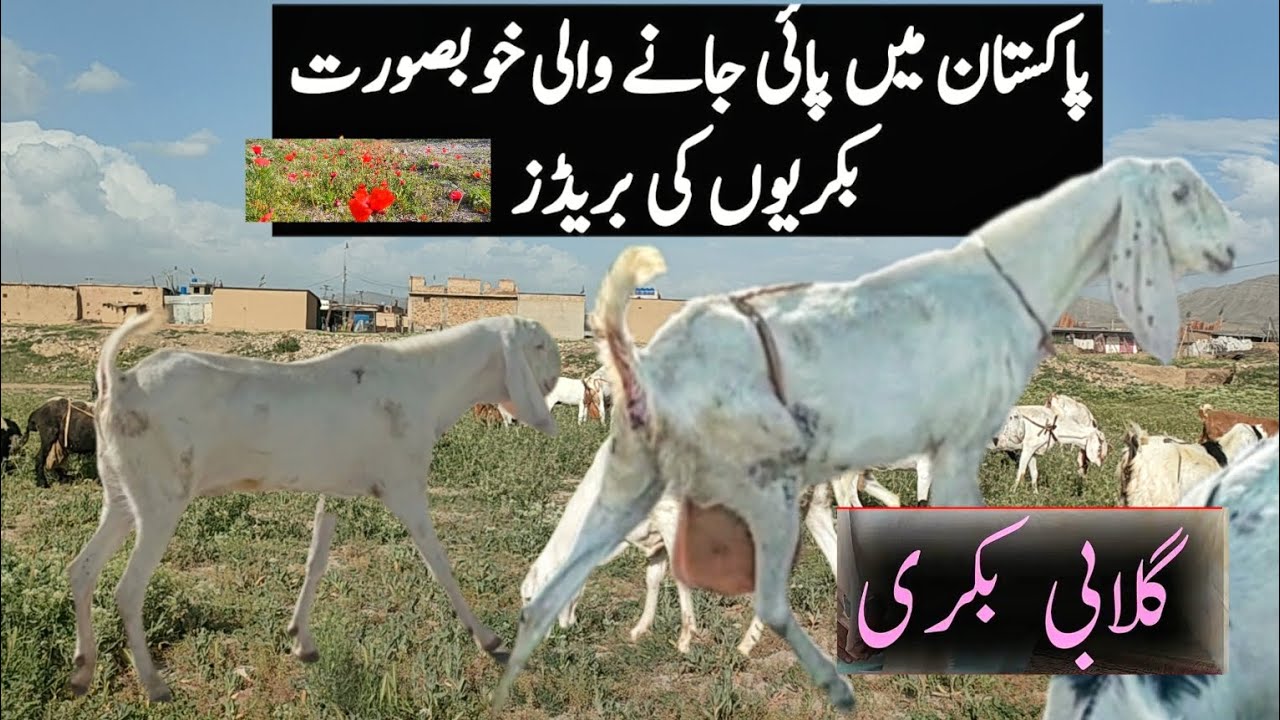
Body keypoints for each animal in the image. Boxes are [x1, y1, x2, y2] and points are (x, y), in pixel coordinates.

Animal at [67, 311, 562, 703]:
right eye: (539, 345)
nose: (557, 377)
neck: (424, 379)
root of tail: (121, 382)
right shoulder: (404, 487)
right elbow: (439, 561)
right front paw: (489, 639)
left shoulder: (336, 491)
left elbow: (317, 559)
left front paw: (300, 640)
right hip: (161, 502)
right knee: (128, 589)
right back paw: (154, 684)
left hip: (122, 498)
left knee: (82, 569)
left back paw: (82, 670)